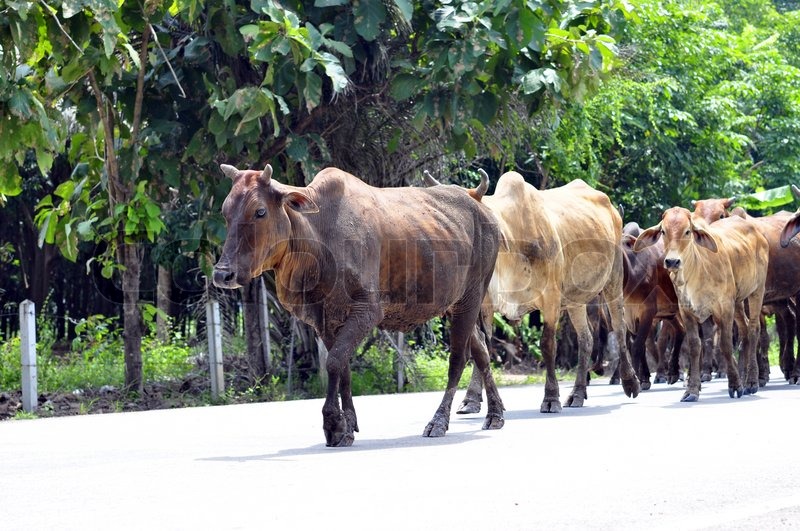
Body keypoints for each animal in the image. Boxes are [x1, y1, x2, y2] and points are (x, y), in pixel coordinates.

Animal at [212, 163, 504, 446]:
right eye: (225, 212)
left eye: (260, 211)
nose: (222, 274)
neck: (318, 236)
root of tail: (481, 206)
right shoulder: (325, 319)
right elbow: (343, 367)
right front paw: (348, 424)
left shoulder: (368, 310)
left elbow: (333, 362)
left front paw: (333, 425)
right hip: (454, 304)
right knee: (481, 350)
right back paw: (495, 414)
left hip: (471, 297)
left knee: (458, 358)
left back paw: (439, 422)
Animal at [447, 171, 640, 414]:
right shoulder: (485, 304)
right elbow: (483, 346)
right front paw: (471, 400)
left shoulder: (551, 299)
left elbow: (548, 345)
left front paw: (550, 398)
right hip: (576, 300)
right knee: (586, 339)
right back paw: (577, 393)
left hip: (613, 280)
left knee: (619, 327)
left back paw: (630, 382)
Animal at [634, 207, 769, 401]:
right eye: (663, 231)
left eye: (687, 231)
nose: (672, 261)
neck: (696, 271)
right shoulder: (686, 311)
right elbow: (695, 346)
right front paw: (691, 390)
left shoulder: (724, 307)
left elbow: (725, 345)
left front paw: (735, 385)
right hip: (737, 302)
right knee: (744, 331)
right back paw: (744, 376)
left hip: (757, 291)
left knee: (753, 329)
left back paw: (751, 381)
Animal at [694, 198, 800, 384]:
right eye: (694, 217)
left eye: (720, 215)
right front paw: (749, 375)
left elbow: (754, 333)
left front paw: (755, 376)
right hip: (782, 298)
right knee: (789, 321)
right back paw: (788, 367)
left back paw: (794, 372)